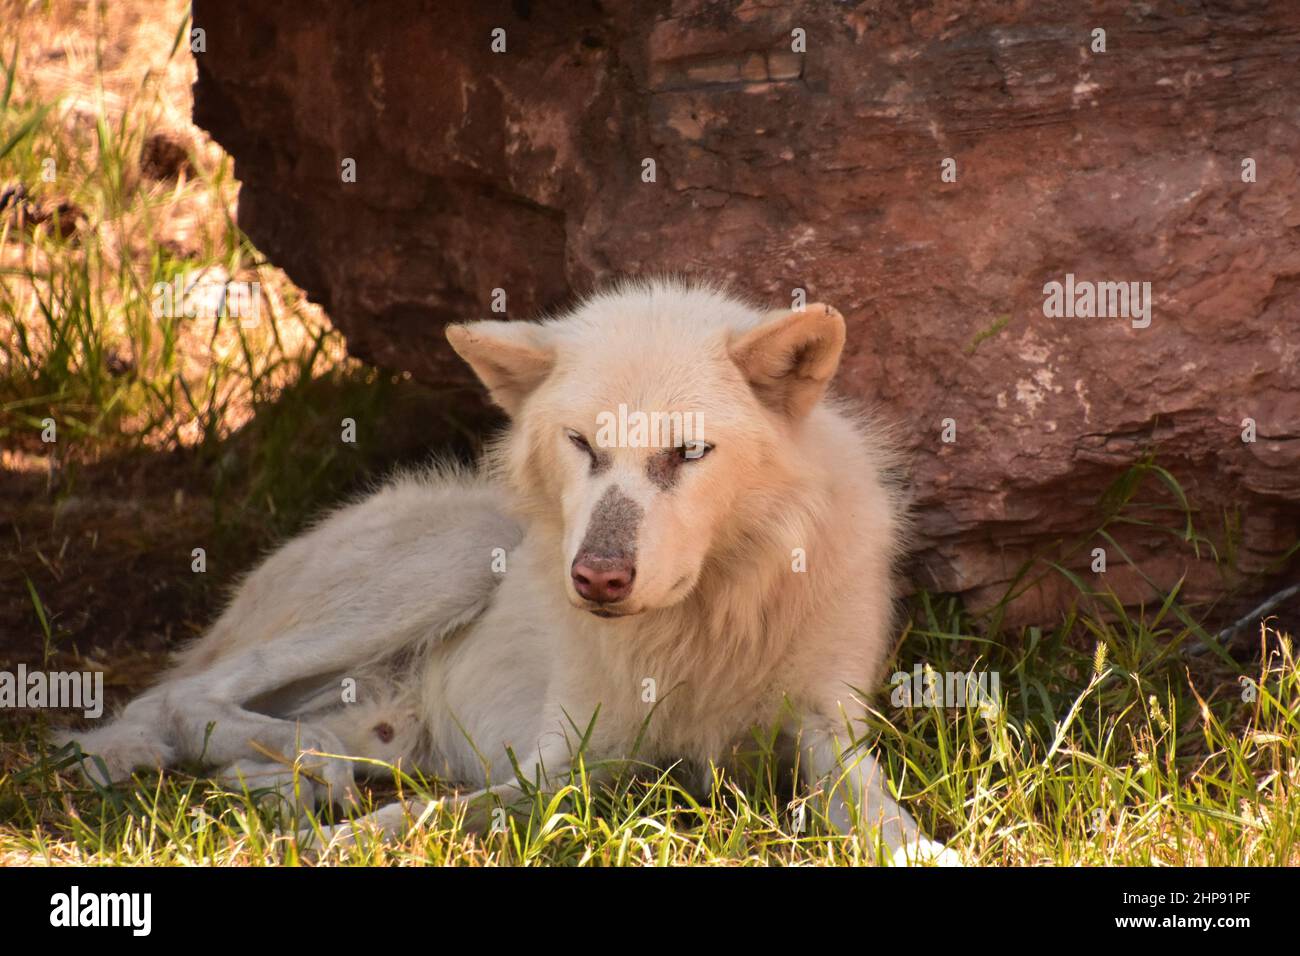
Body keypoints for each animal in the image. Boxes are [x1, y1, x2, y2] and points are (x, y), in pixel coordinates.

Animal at [63, 279, 957, 864]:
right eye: (582, 443)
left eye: (689, 451)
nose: (598, 579)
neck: (706, 626)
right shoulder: (567, 764)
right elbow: (428, 817)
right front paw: (336, 843)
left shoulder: (828, 729)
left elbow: (875, 806)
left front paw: (923, 850)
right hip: (457, 558)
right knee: (179, 699)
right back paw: (309, 765)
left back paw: (299, 775)